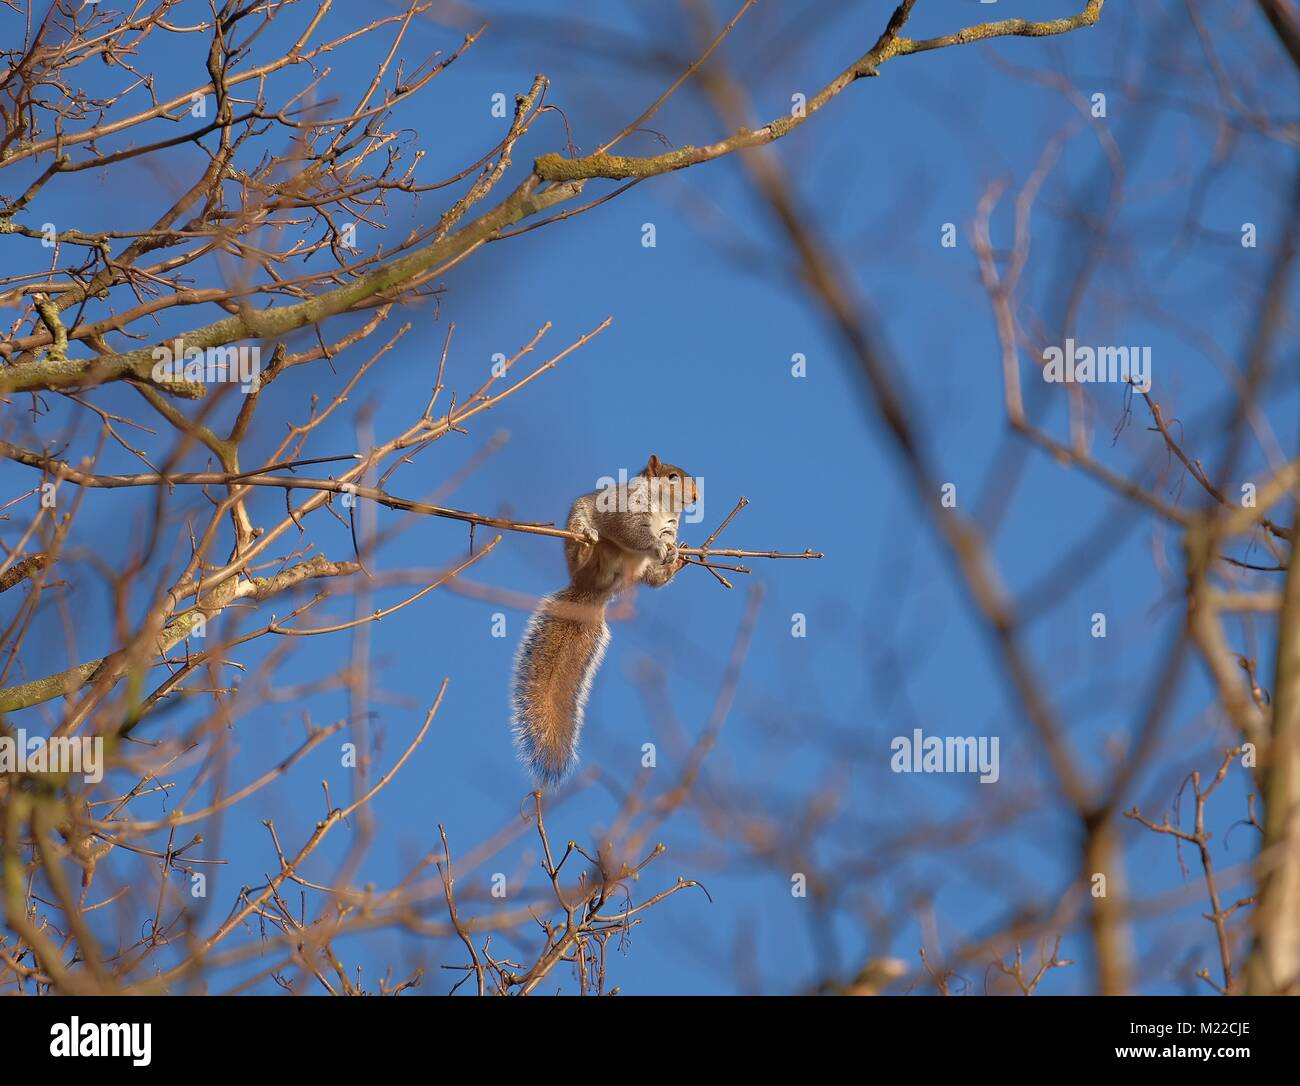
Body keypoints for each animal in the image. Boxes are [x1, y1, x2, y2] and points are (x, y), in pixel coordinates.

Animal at [511, 454, 699, 788]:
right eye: (673, 477)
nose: (695, 496)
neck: (663, 508)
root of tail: (593, 592)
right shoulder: (628, 509)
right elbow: (633, 531)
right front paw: (656, 545)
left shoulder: (668, 527)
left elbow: (665, 542)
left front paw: (673, 549)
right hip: (582, 532)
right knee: (590, 549)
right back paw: (586, 546)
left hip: (635, 572)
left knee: (652, 579)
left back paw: (673, 566)